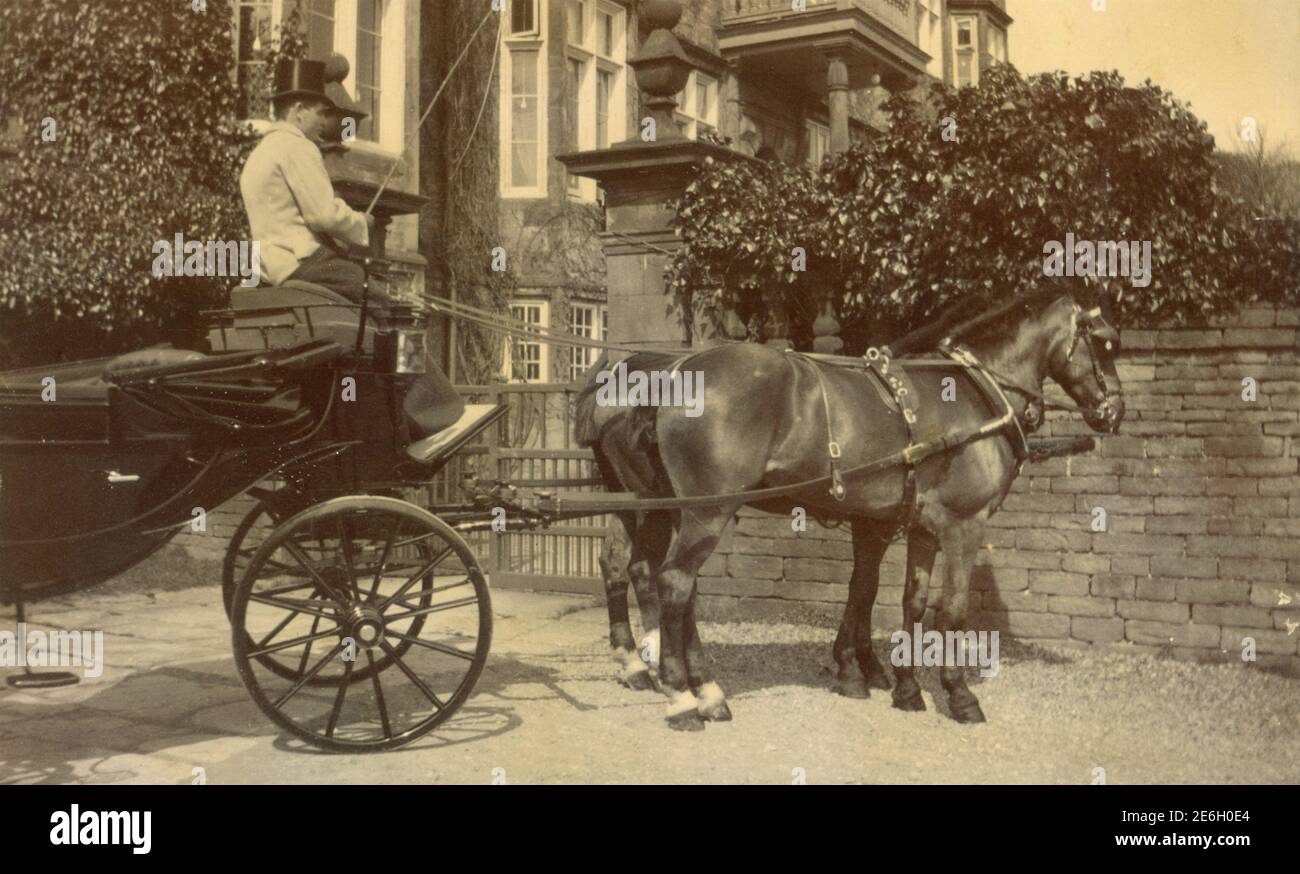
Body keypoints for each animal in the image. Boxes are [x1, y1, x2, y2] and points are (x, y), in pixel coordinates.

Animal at [577, 289, 1123, 730]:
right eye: (1105, 343)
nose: (1114, 412)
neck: (971, 390)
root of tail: (669, 374)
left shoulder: (917, 527)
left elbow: (905, 601)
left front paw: (903, 686)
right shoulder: (962, 527)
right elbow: (949, 609)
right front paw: (957, 693)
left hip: (668, 508)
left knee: (657, 578)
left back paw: (692, 684)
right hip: (704, 513)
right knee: (672, 582)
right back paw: (684, 695)